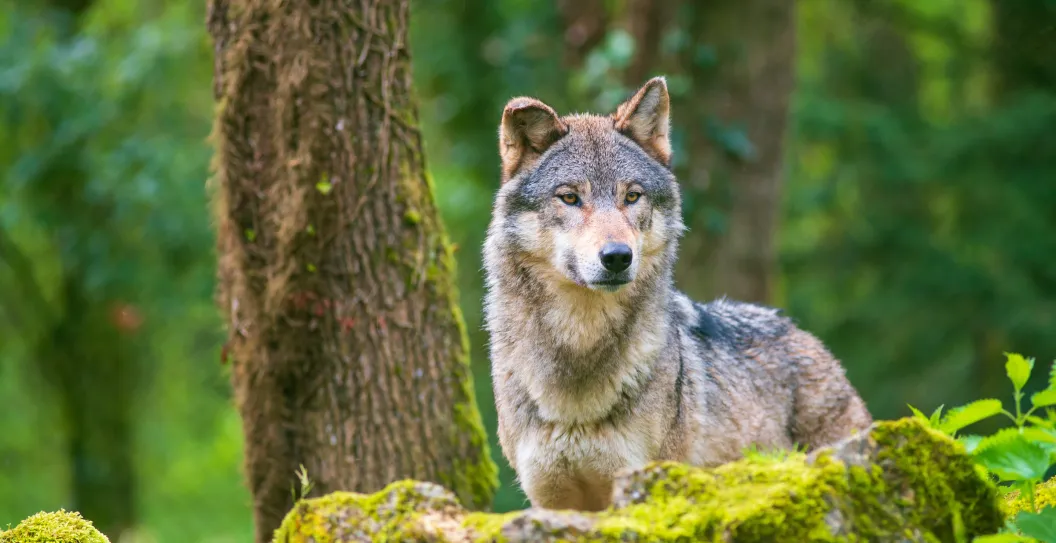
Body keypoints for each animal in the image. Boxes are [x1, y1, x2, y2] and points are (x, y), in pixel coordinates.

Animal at [482, 76, 873, 512]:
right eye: (569, 197)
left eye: (632, 196)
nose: (617, 257)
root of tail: (798, 332)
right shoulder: (552, 502)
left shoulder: (644, 485)